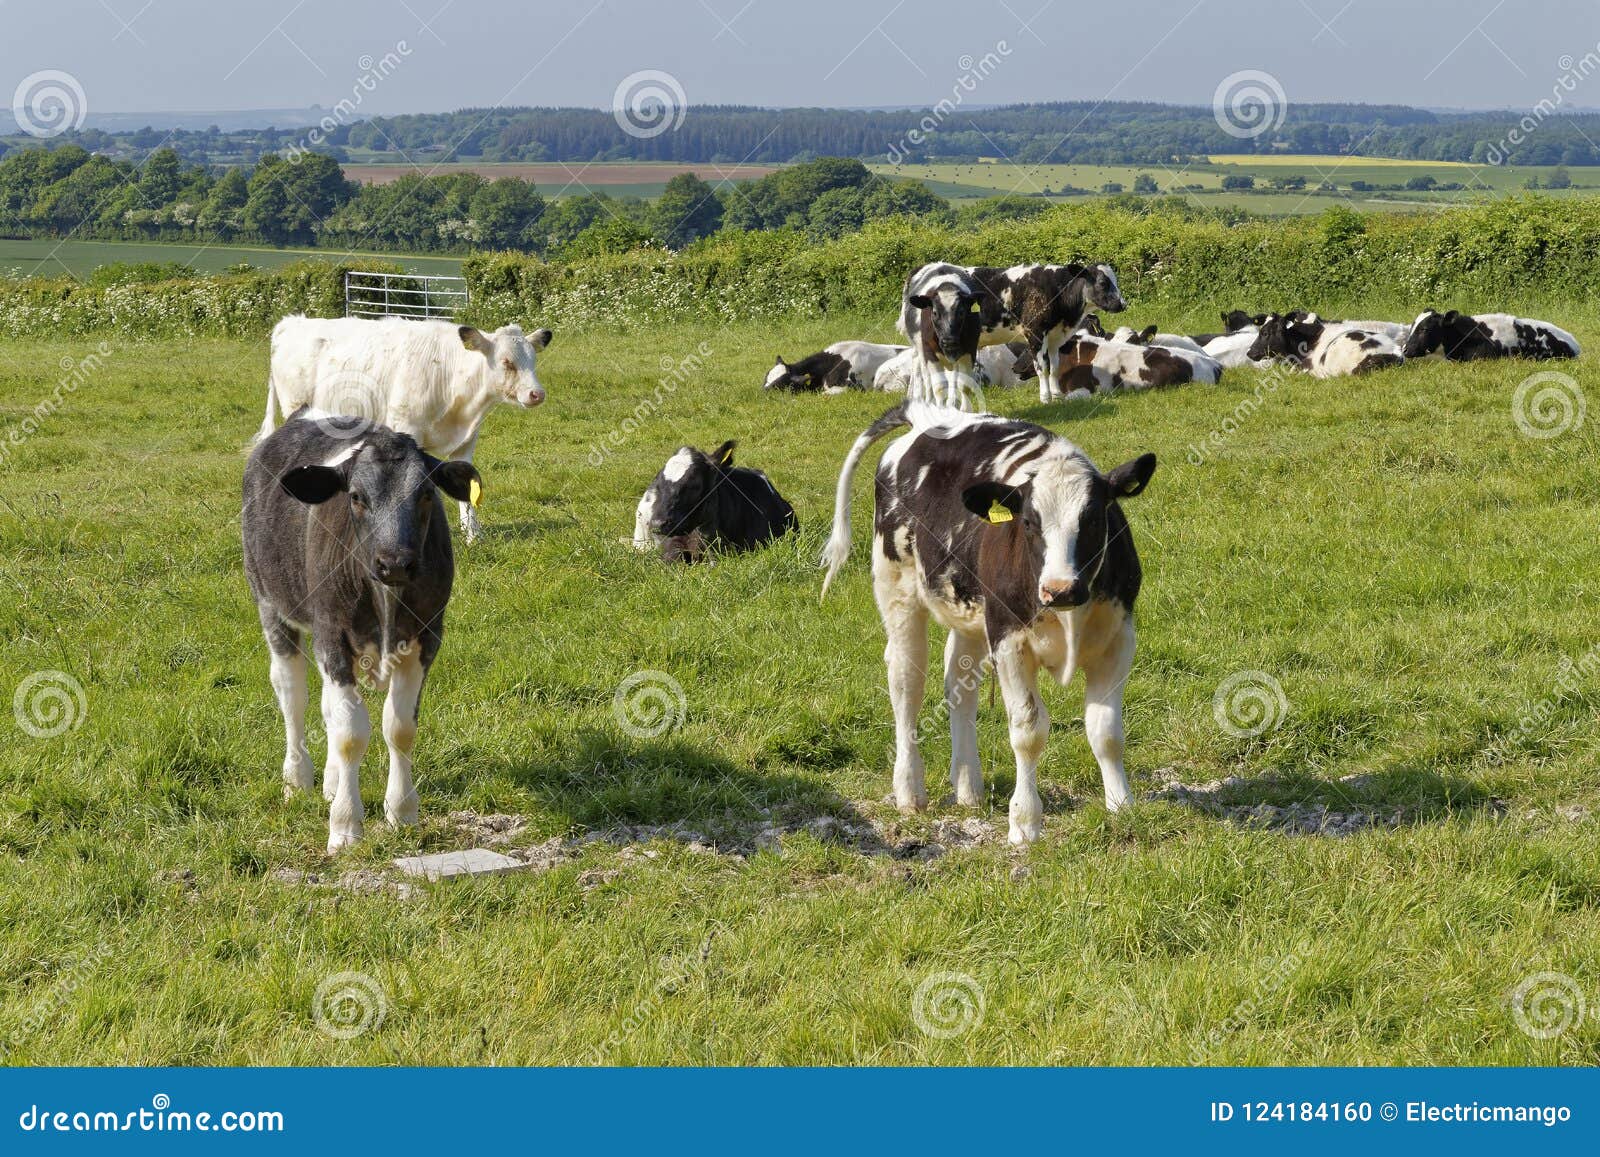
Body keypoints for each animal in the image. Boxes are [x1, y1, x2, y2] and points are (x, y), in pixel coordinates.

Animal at [243, 410, 481, 853]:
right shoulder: (331, 635)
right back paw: (297, 778)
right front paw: (345, 825)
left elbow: (398, 727)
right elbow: (351, 734)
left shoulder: (427, 636)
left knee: (326, 707)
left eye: (426, 493)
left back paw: (332, 781)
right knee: (293, 696)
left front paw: (402, 812)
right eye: (355, 496)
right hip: (271, 605)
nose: (395, 562)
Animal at [258, 316, 552, 544]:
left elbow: (468, 490)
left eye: (533, 361)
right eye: (507, 362)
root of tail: (291, 322)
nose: (537, 394)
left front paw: (472, 536)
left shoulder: (466, 442)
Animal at [819, 401, 1157, 844]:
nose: (1060, 589)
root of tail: (926, 417)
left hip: (971, 614)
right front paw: (1025, 822)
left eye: (1096, 519)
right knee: (906, 682)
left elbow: (1106, 732)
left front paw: (1121, 806)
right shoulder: (1009, 642)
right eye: (1028, 522)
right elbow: (1028, 732)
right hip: (898, 589)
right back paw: (909, 789)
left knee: (959, 684)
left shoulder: (1118, 638)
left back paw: (969, 787)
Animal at [898, 262, 1126, 409]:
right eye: (1103, 283)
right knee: (923, 371)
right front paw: (1045, 398)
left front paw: (1057, 395)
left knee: (919, 367)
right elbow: (1042, 368)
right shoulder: (1034, 333)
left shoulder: (1054, 338)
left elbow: (1054, 367)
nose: (1122, 304)